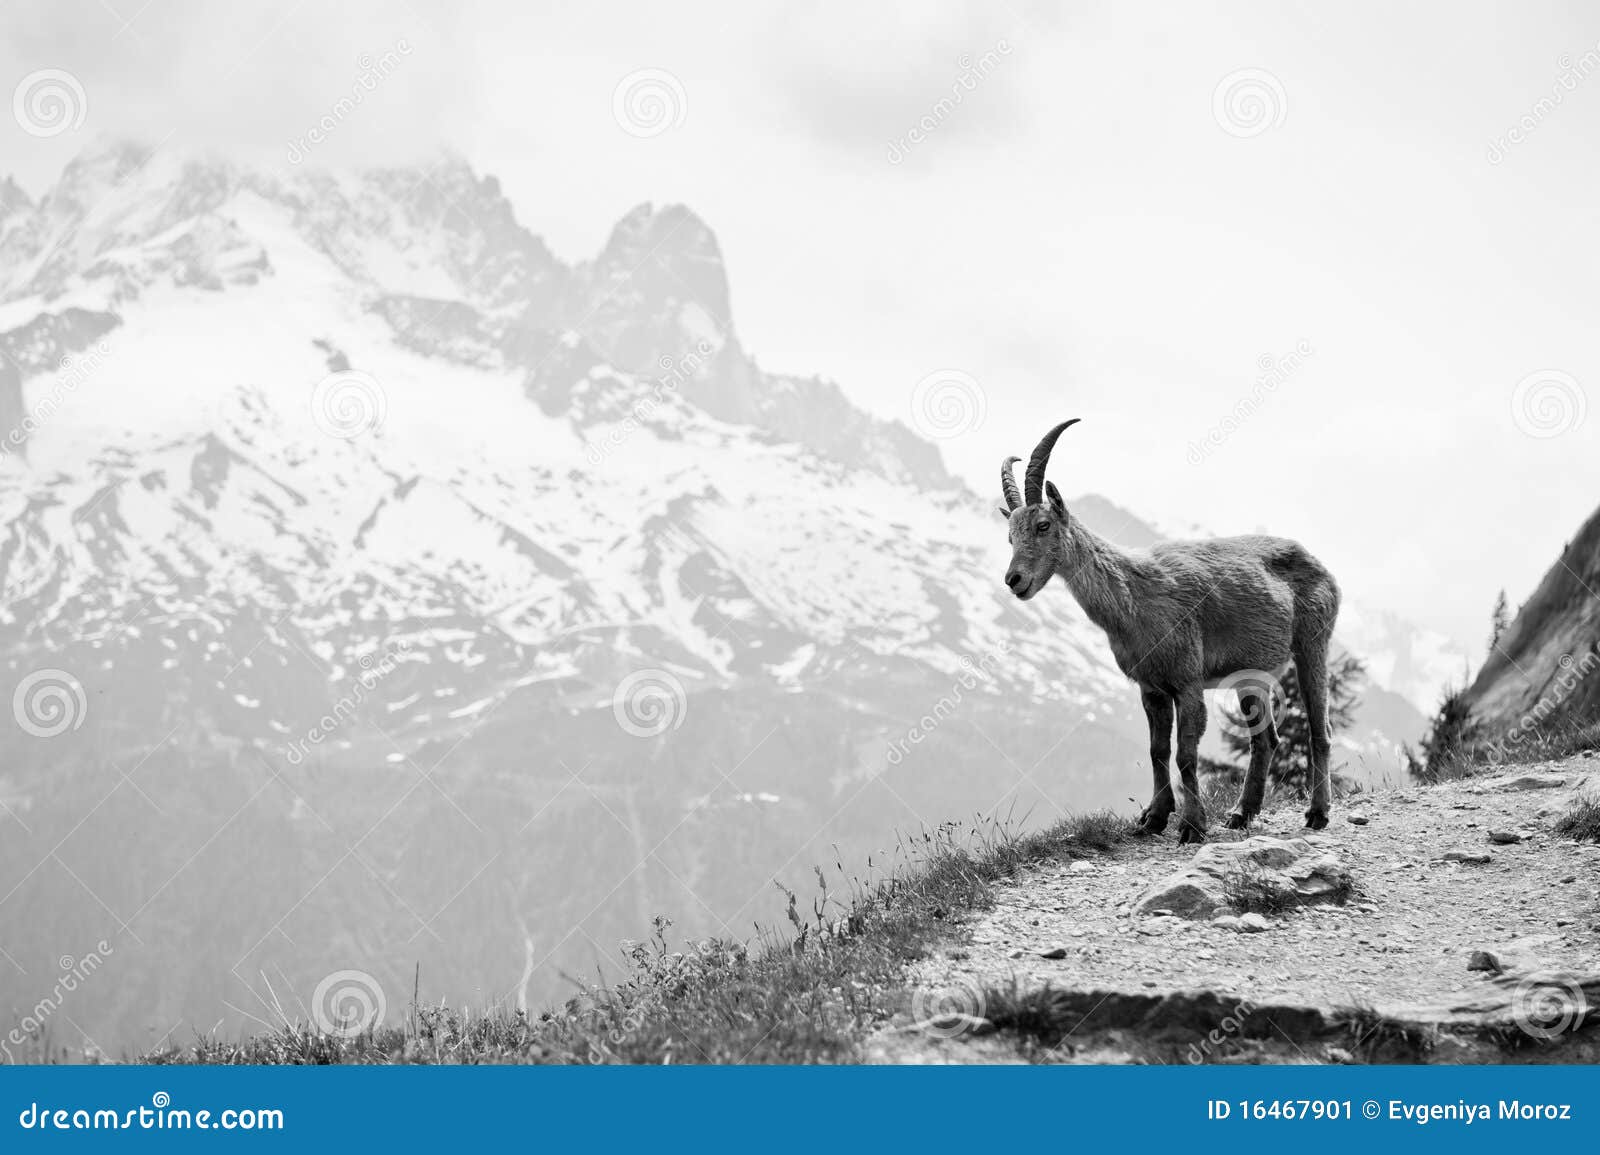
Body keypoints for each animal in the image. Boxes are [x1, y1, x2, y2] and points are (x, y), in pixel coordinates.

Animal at [999, 420, 1341, 842]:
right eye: (1010, 536)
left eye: (1043, 525)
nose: (1014, 580)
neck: (1133, 600)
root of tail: (1320, 565)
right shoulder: (1152, 687)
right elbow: (1157, 751)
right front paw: (1154, 818)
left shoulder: (1187, 681)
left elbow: (1186, 755)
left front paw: (1192, 826)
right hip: (1252, 674)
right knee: (1265, 738)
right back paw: (1242, 813)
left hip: (1313, 644)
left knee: (1319, 728)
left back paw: (1318, 812)